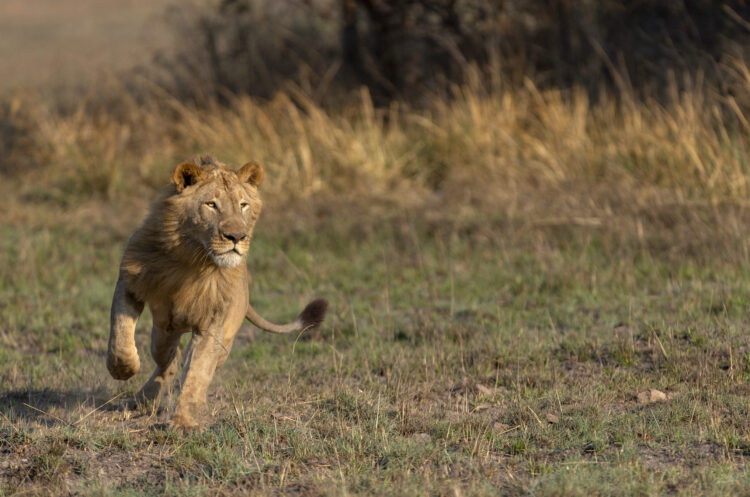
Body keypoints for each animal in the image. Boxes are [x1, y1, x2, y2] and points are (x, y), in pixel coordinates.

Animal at [106, 155, 327, 429]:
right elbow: (120, 338)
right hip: (163, 331)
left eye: (243, 205)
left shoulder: (213, 324)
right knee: (169, 360)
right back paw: (141, 400)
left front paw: (183, 423)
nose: (237, 236)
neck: (194, 258)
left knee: (186, 363)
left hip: (224, 340)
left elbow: (197, 374)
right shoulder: (130, 282)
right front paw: (123, 370)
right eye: (211, 204)